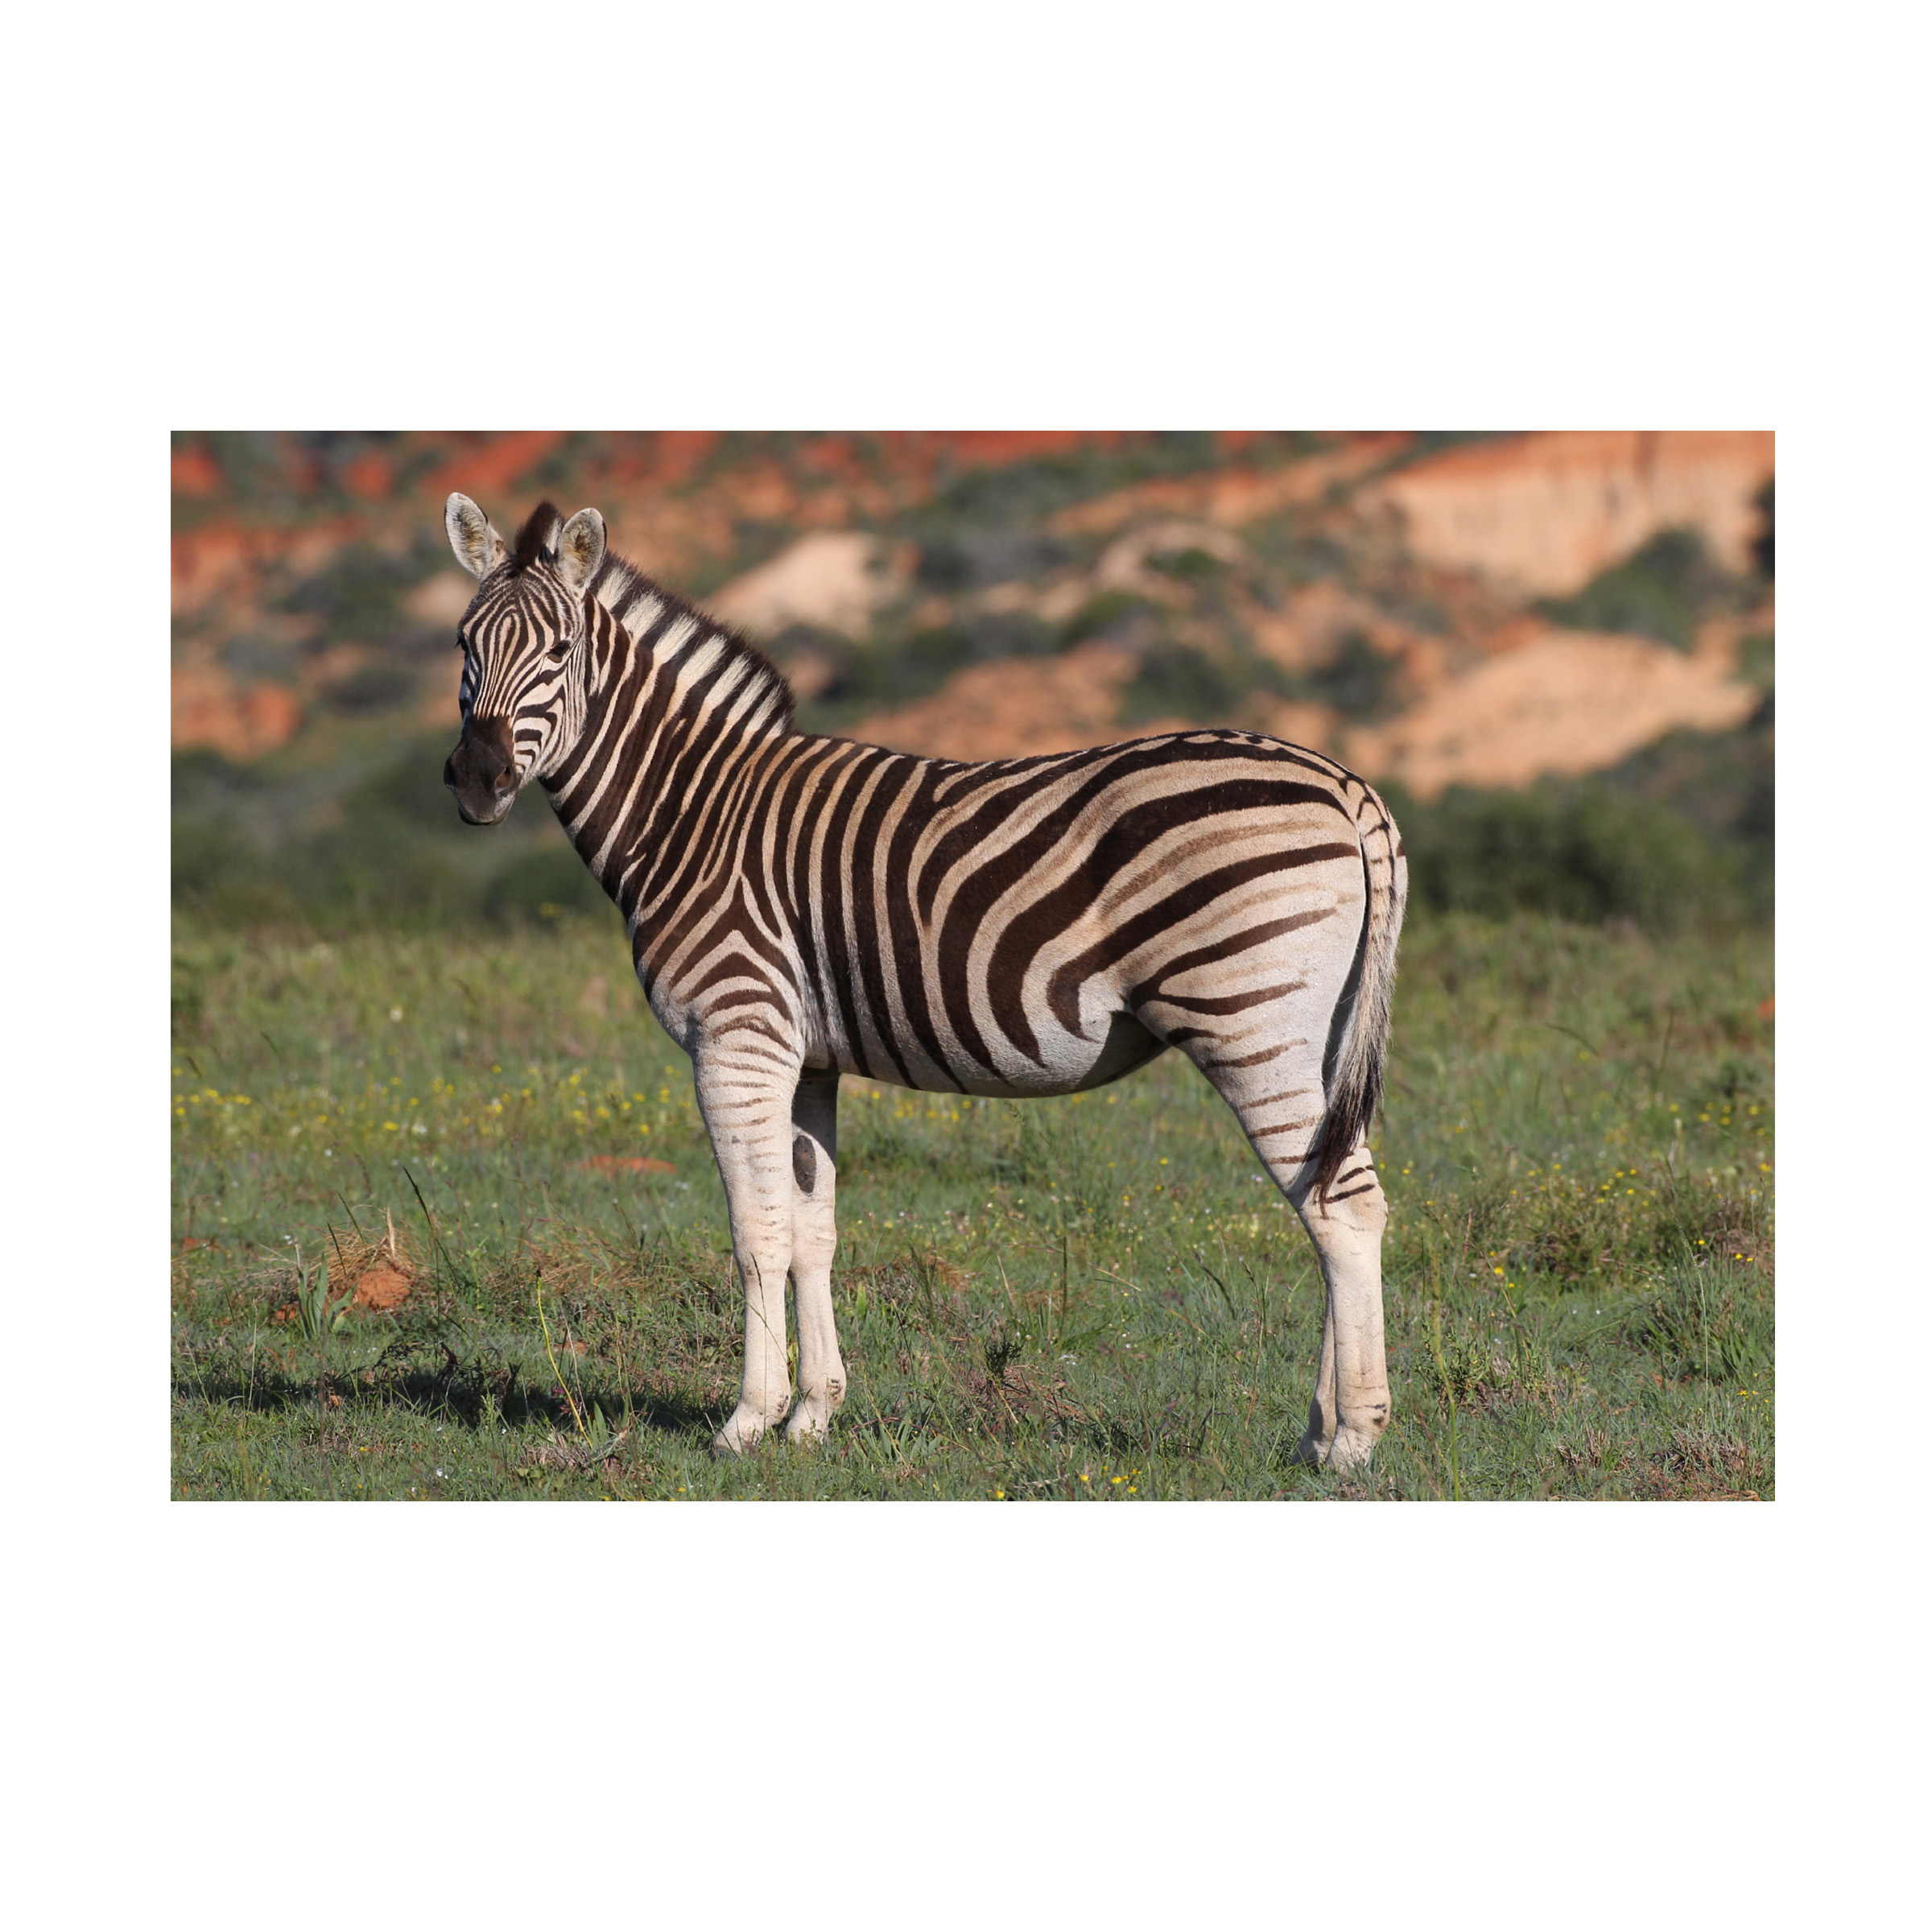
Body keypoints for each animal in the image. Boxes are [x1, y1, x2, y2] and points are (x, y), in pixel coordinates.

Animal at [441, 494, 1408, 1469]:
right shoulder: (808, 1061)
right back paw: (1317, 1432)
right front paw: (814, 1415)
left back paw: (1353, 1439)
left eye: (560, 652)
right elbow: (813, 1233)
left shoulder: (737, 1037)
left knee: (1342, 1210)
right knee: (1328, 1196)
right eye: (463, 644)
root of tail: (1345, 784)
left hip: (1250, 1020)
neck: (688, 814)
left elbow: (757, 1232)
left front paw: (749, 1419)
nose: (477, 784)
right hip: (1315, 1032)